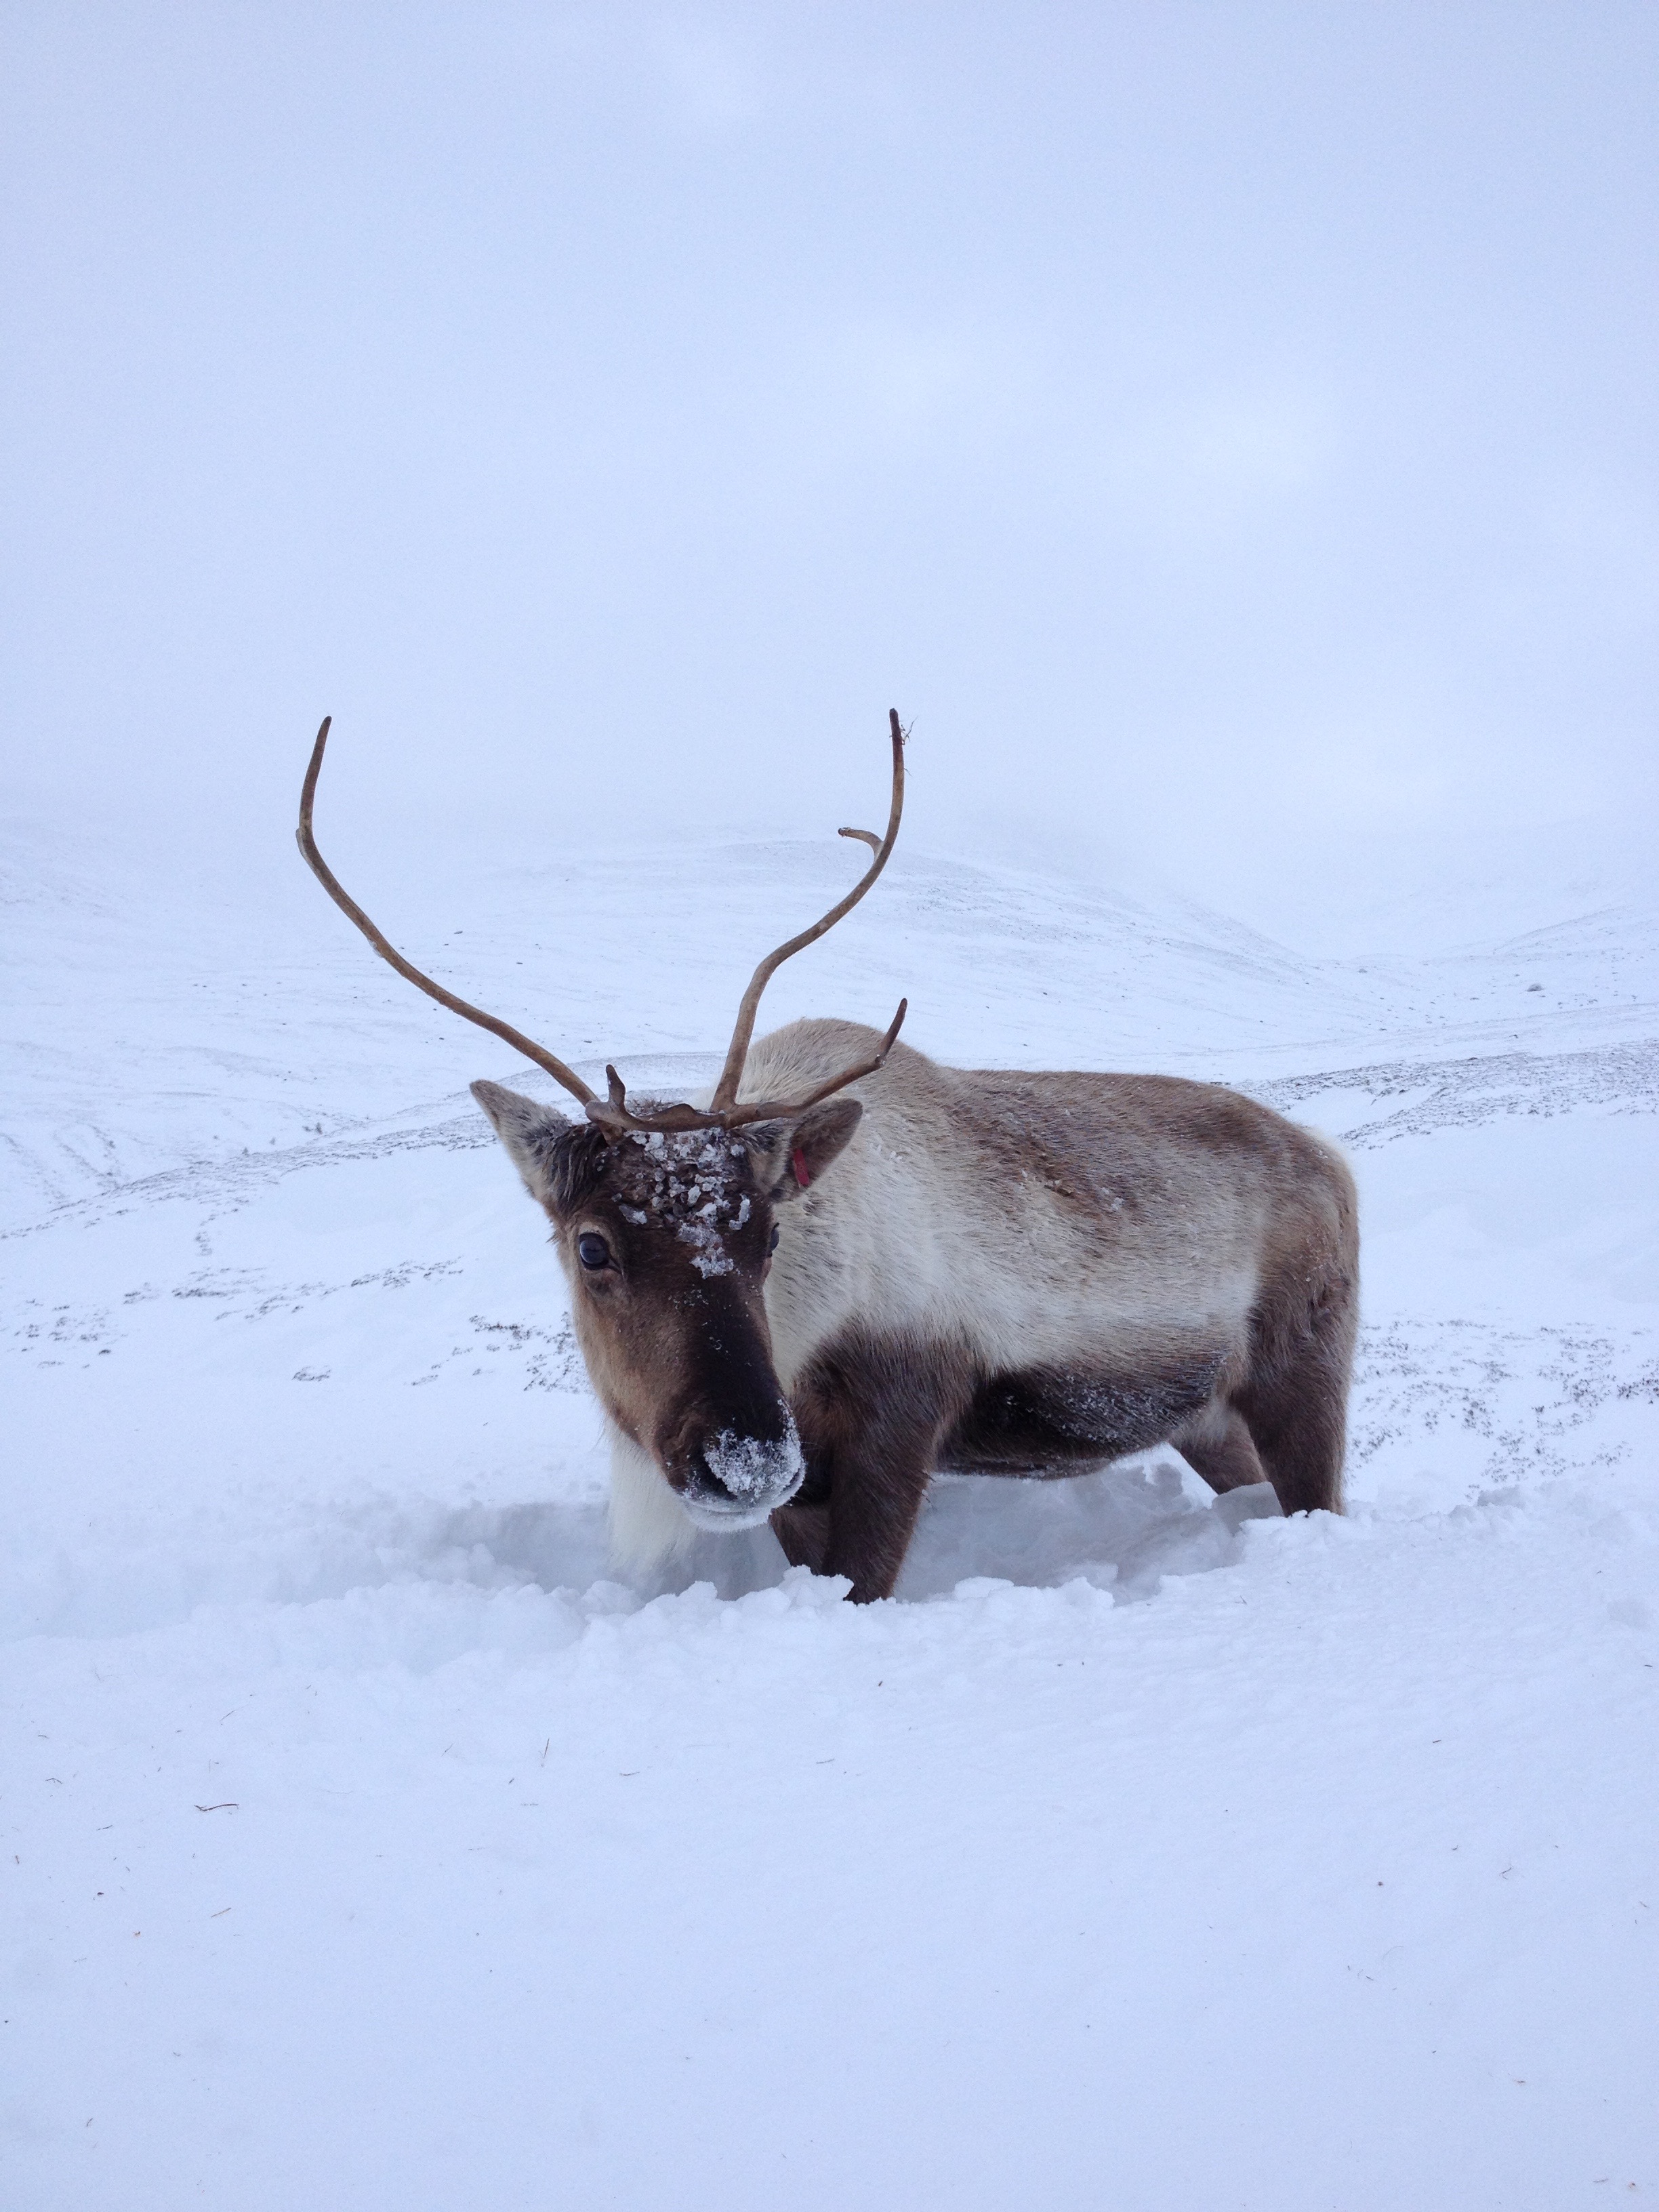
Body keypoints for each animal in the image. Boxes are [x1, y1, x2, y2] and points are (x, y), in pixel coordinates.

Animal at [297, 711, 1358, 1601]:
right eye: (591, 1245)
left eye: (767, 1234)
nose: (745, 1459)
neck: (803, 1332)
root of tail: (1332, 1160)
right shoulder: (806, 1470)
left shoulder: (898, 1419)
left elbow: (865, 1580)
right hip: (1208, 1418)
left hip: (1303, 1371)